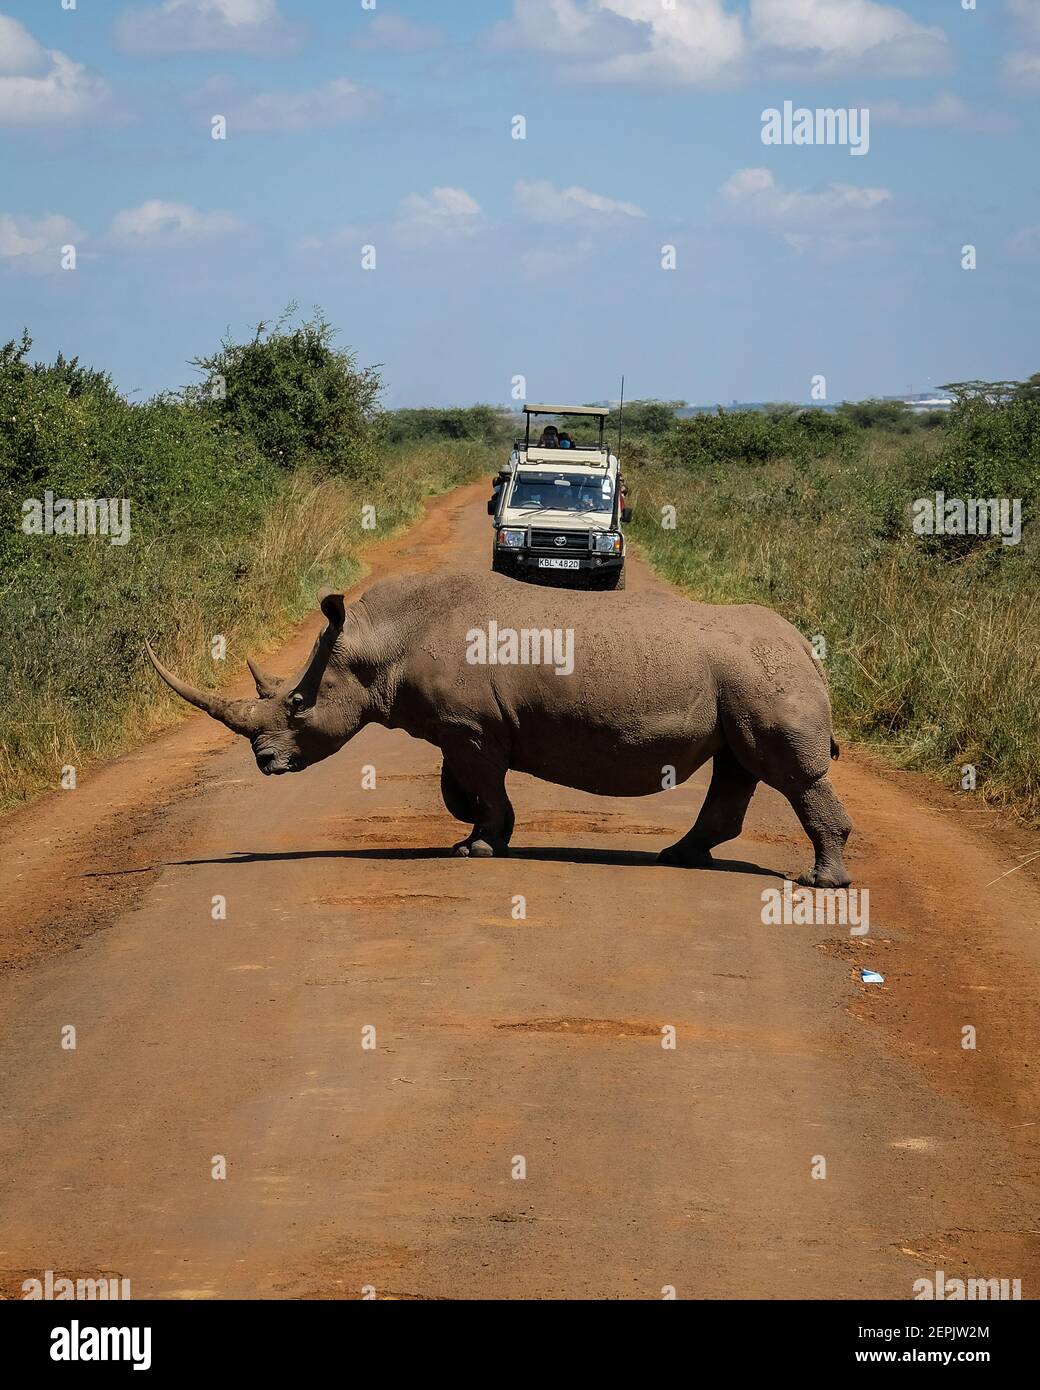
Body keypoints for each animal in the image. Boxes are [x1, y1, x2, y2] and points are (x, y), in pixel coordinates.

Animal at [146, 572, 853, 886]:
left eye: (296, 704)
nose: (266, 763)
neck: (378, 643)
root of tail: (806, 646)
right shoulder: (465, 725)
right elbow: (458, 785)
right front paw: (479, 835)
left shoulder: (472, 728)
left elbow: (483, 787)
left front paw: (476, 849)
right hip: (746, 678)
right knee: (739, 765)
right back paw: (680, 857)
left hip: (763, 675)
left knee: (786, 772)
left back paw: (819, 884)